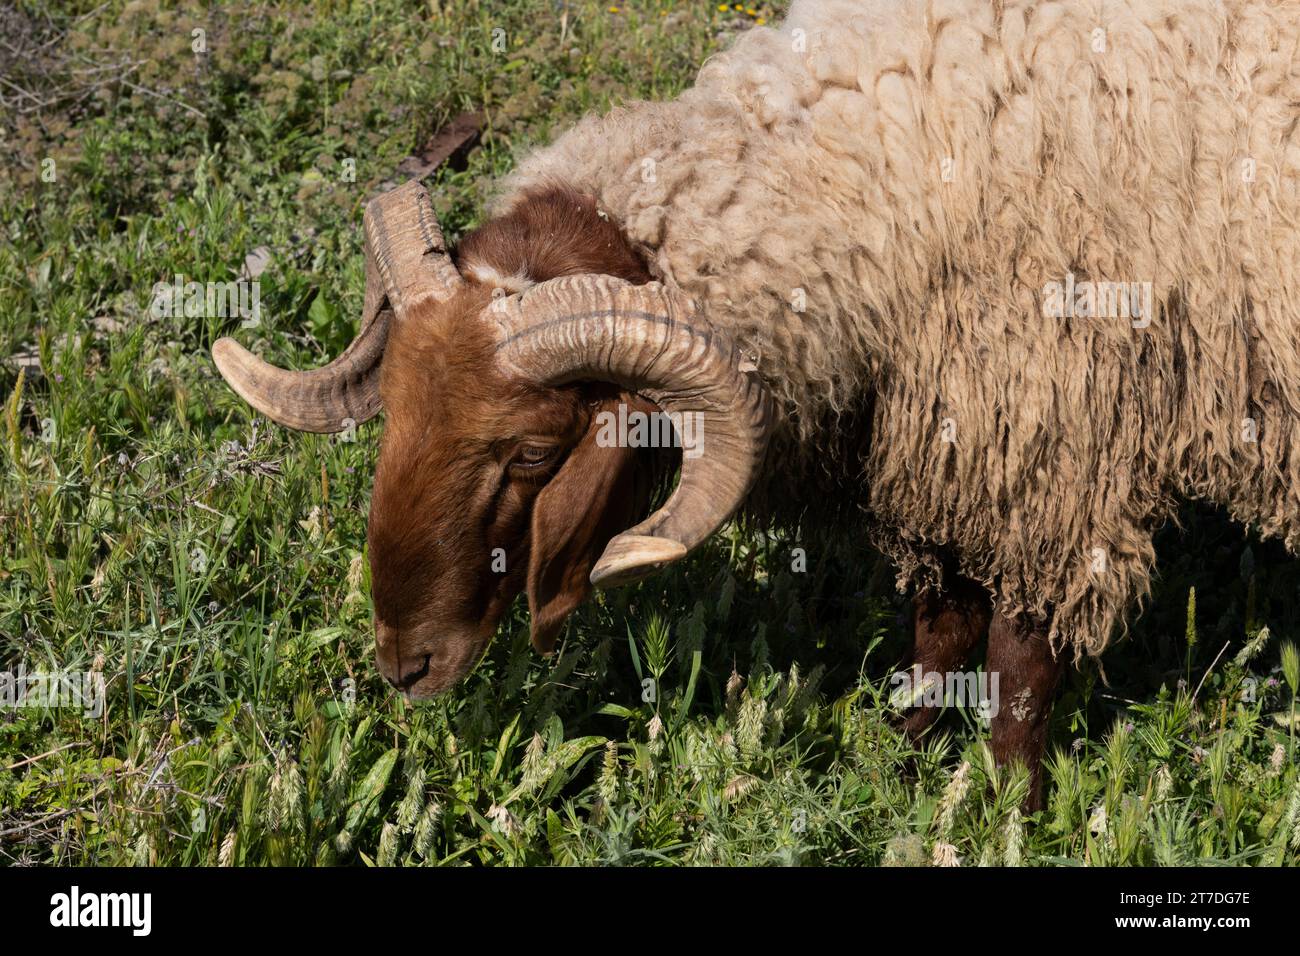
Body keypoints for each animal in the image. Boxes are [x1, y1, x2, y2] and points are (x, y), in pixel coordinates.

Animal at [213, 0, 1300, 807]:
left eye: (530, 455)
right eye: (394, 411)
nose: (406, 667)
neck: (890, 162)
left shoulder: (1049, 452)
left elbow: (1020, 669)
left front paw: (1000, 812)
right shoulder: (939, 444)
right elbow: (942, 624)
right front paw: (902, 766)